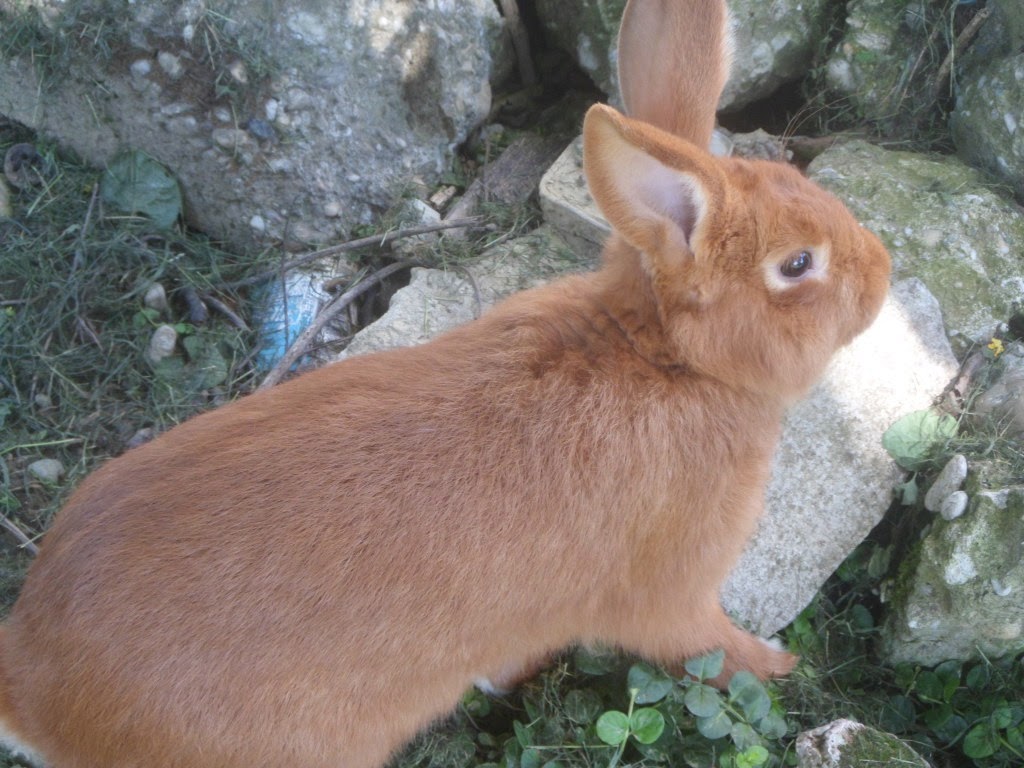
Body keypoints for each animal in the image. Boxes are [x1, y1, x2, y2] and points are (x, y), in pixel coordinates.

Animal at [0, 0, 891, 766]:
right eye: (797, 265)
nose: (883, 274)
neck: (666, 355)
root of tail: (33, 684)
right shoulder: (673, 594)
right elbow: (709, 647)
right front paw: (780, 668)